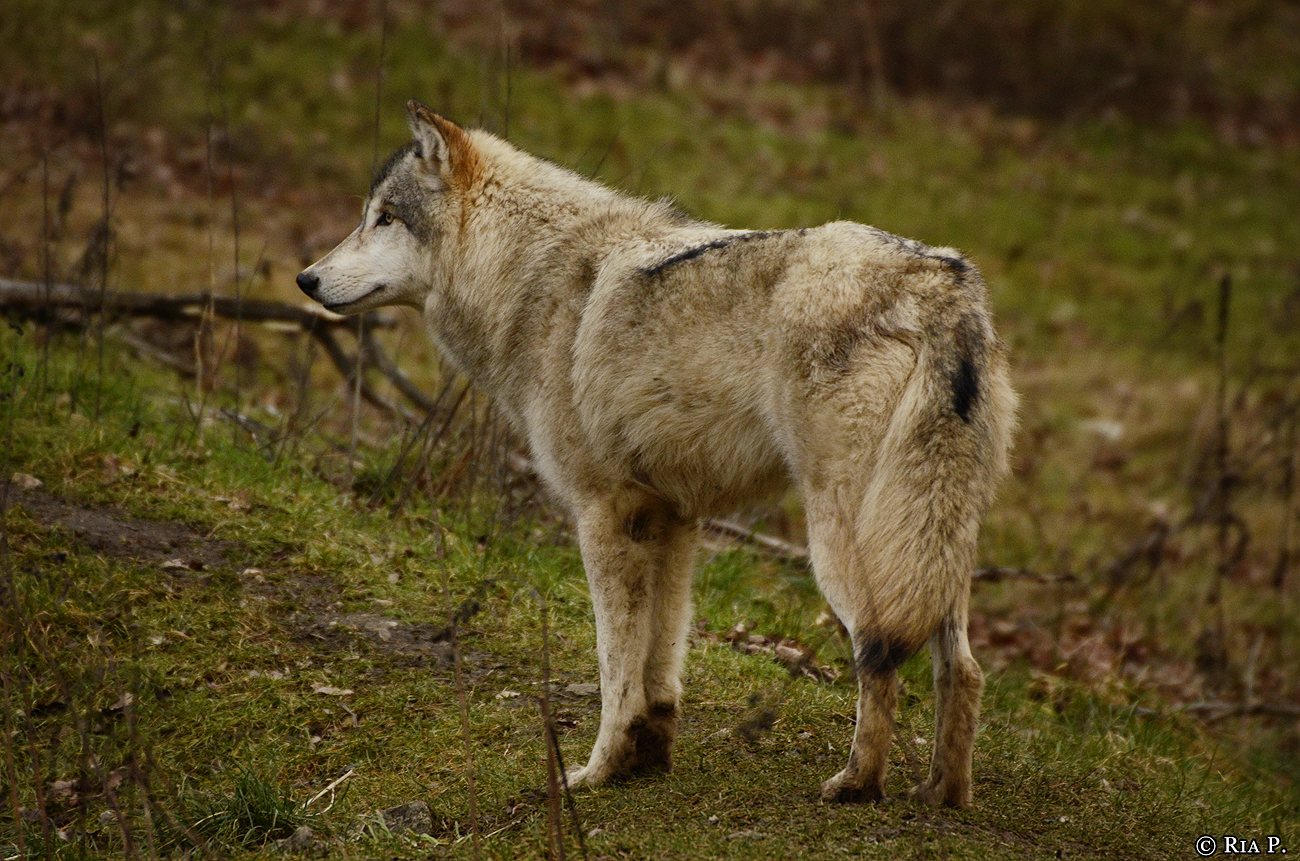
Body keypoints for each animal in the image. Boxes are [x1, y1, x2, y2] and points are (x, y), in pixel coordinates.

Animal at [297, 100, 1017, 806]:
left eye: (384, 219)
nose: (305, 278)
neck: (525, 276)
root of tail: (939, 284)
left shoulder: (602, 514)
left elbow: (616, 666)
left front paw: (596, 772)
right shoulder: (672, 518)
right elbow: (660, 662)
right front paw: (649, 758)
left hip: (844, 538)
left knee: (878, 653)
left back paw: (858, 784)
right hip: (930, 539)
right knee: (964, 669)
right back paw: (943, 792)